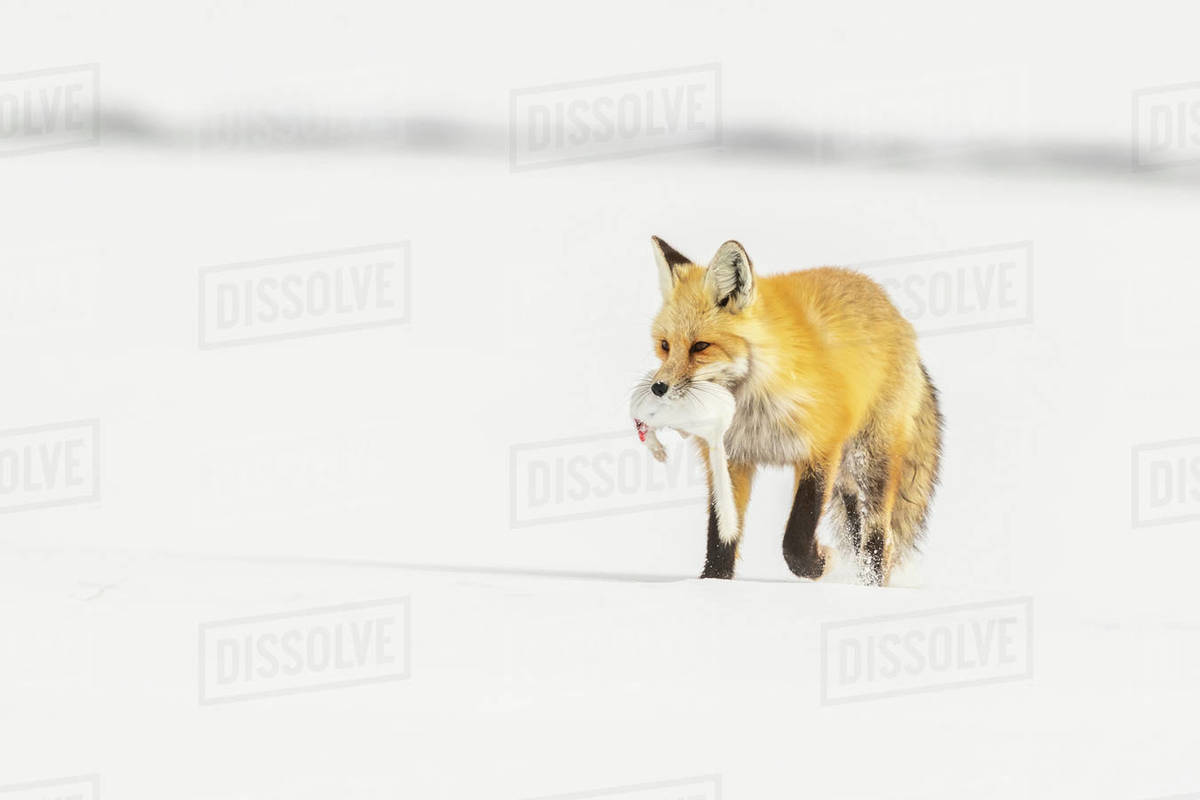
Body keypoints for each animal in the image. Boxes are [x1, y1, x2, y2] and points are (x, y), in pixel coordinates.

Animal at [641, 236, 943, 586]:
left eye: (700, 346)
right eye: (665, 345)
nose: (658, 387)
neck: (752, 412)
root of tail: (895, 312)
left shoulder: (821, 449)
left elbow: (796, 536)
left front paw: (820, 563)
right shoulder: (731, 458)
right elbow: (720, 535)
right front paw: (713, 582)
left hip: (869, 458)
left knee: (881, 536)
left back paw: (869, 583)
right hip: (847, 477)